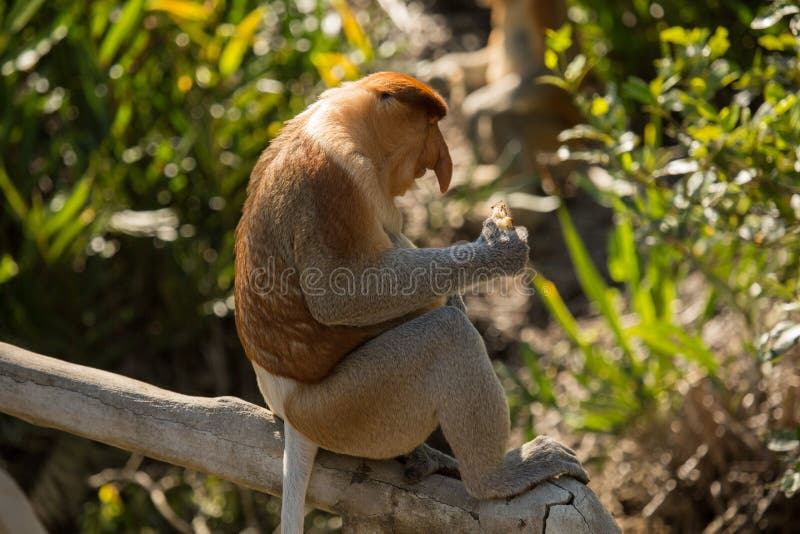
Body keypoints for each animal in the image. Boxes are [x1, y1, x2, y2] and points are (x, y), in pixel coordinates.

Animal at [234, 72, 588, 534]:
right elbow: (339, 295)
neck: (339, 118)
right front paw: (499, 249)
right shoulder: (332, 180)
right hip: (344, 408)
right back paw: (497, 478)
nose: (444, 159)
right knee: (446, 336)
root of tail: (288, 411)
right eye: (431, 125)